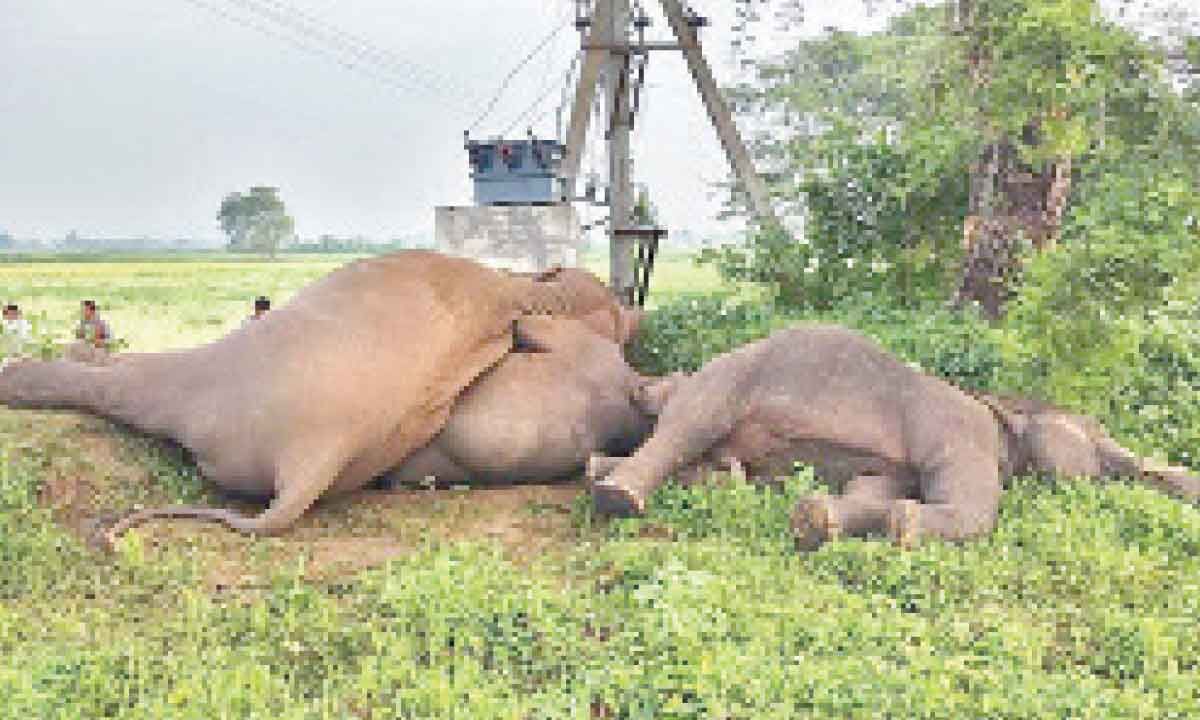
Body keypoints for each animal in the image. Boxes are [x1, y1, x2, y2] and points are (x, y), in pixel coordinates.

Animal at [587, 324, 1200, 549]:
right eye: (1093, 432)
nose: (1181, 478)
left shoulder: (894, 463)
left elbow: (870, 490)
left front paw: (816, 520)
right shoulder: (959, 429)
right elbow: (975, 503)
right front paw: (906, 525)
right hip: (732, 377)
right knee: (689, 425)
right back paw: (618, 495)